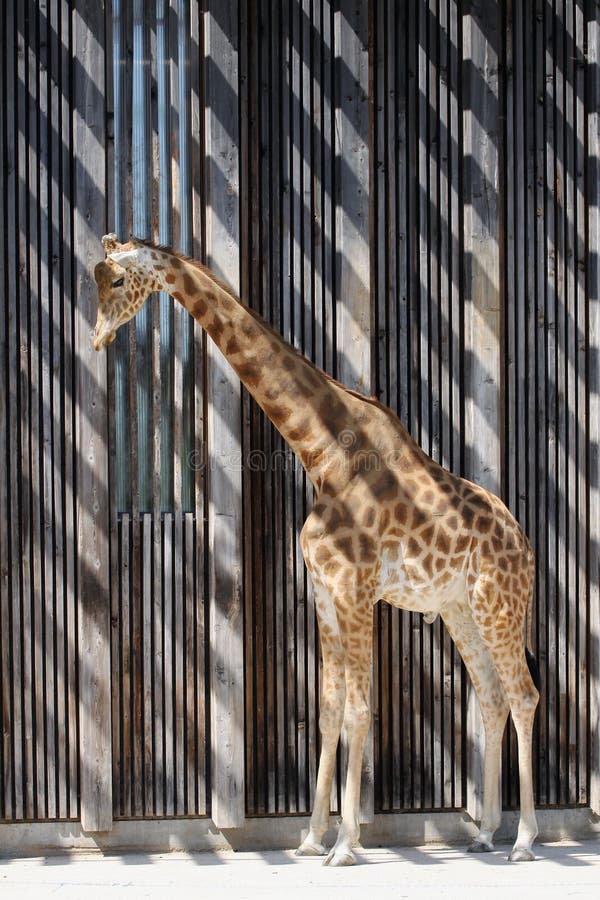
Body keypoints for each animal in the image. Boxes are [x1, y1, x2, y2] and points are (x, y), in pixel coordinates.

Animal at [93, 234, 540, 866]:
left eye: (113, 281)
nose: (96, 338)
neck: (323, 457)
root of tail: (524, 543)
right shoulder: (325, 594)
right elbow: (328, 711)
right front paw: (310, 837)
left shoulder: (356, 592)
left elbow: (357, 710)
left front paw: (346, 844)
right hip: (460, 610)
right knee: (493, 696)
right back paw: (484, 832)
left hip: (500, 604)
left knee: (523, 695)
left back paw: (523, 840)